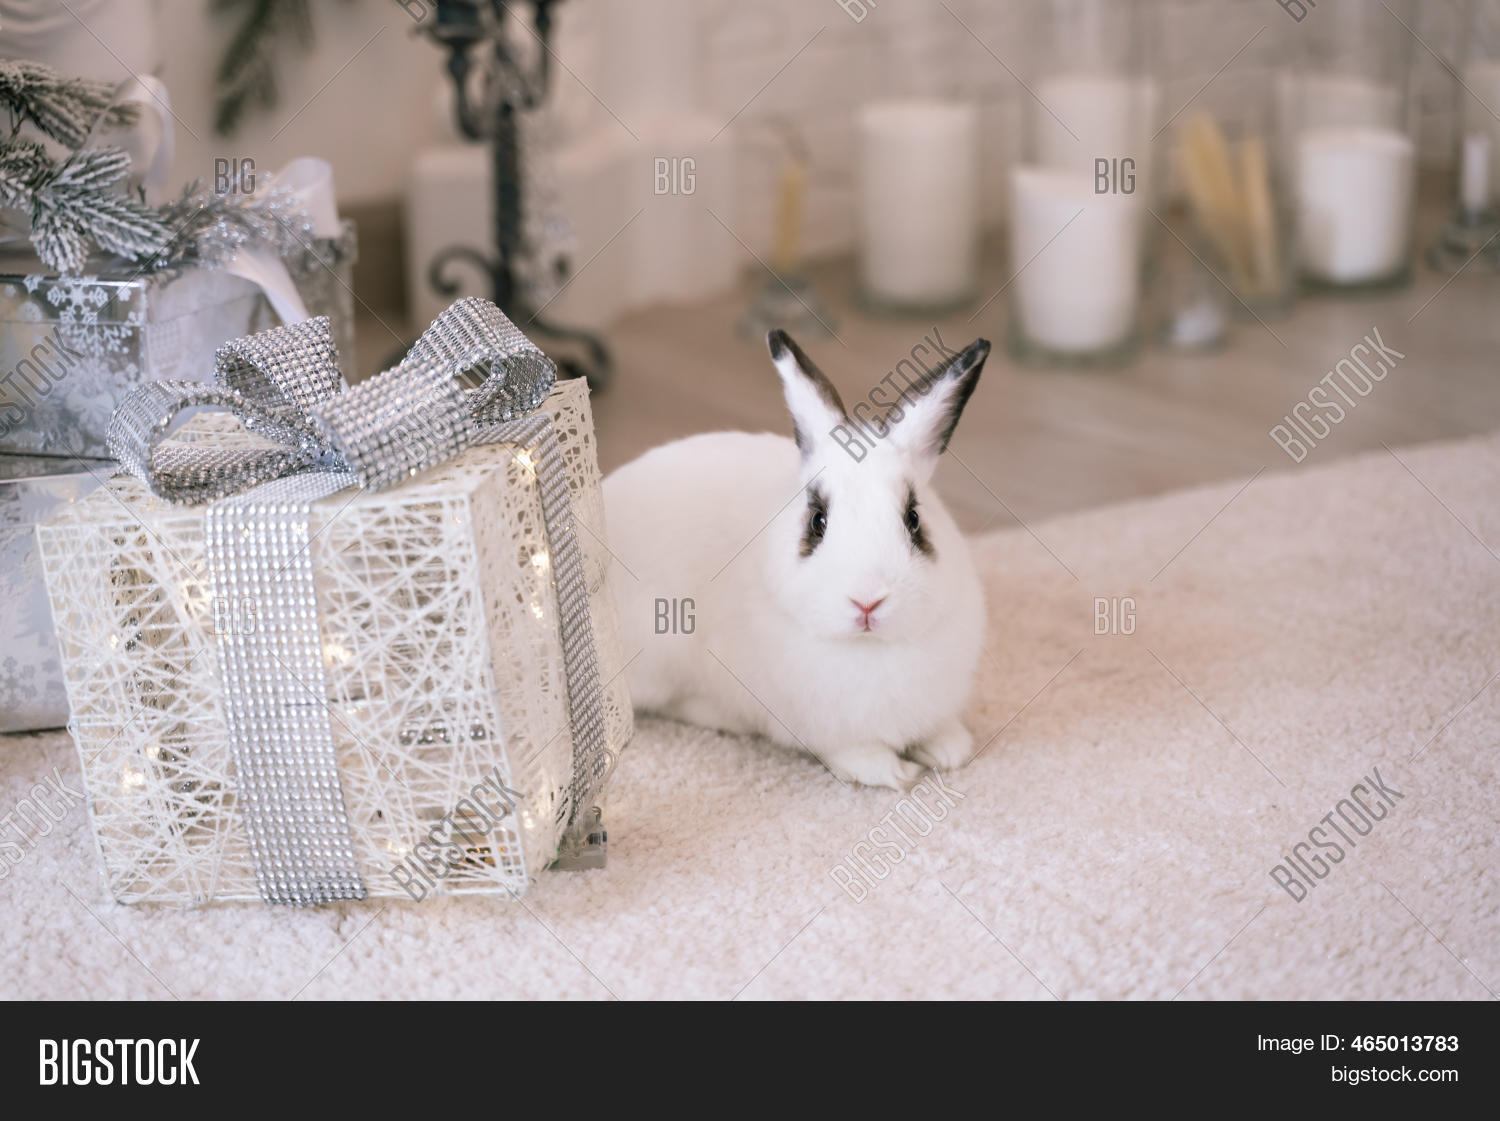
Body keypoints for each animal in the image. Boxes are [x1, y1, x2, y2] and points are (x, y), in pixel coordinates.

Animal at [601, 328, 990, 790]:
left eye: (913, 519)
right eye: (818, 522)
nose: (867, 601)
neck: (869, 648)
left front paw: (951, 750)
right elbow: (856, 753)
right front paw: (895, 773)